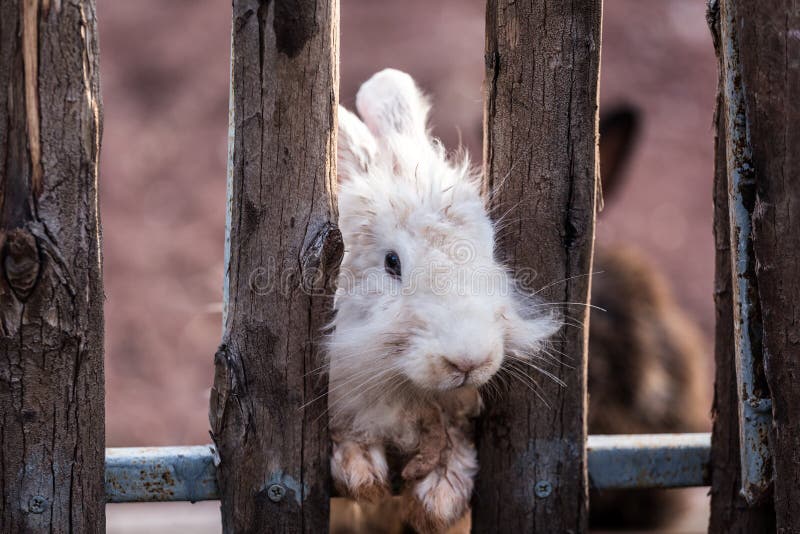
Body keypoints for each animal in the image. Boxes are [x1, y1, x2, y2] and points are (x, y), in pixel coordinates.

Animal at [327, 68, 560, 533]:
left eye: (491, 250)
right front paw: (362, 476)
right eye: (392, 263)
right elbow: (354, 435)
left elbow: (452, 445)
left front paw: (439, 500)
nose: (468, 361)